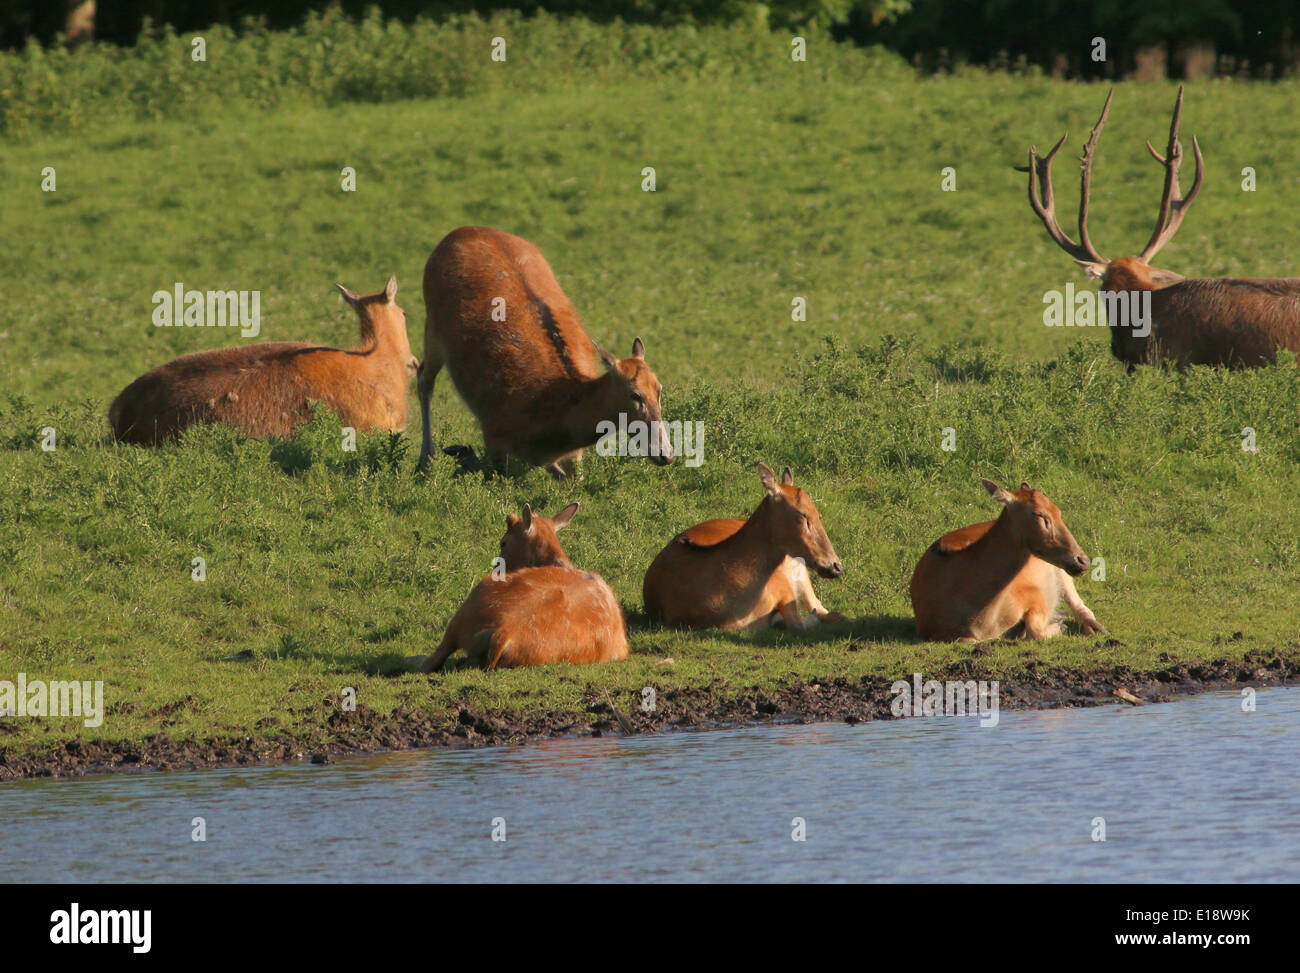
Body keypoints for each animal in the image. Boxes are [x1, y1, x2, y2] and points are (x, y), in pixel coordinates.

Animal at [416, 226, 674, 478]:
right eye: (634, 394)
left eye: (660, 390)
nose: (666, 454)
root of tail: (458, 231)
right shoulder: (493, 433)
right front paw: (462, 456)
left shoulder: (570, 456)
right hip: (432, 326)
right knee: (423, 377)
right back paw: (424, 463)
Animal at [910, 479, 1104, 643]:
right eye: (1039, 515)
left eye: (1058, 512)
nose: (1083, 560)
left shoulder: (1033, 594)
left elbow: (1037, 631)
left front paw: (1058, 625)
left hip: (1062, 573)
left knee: (1082, 607)